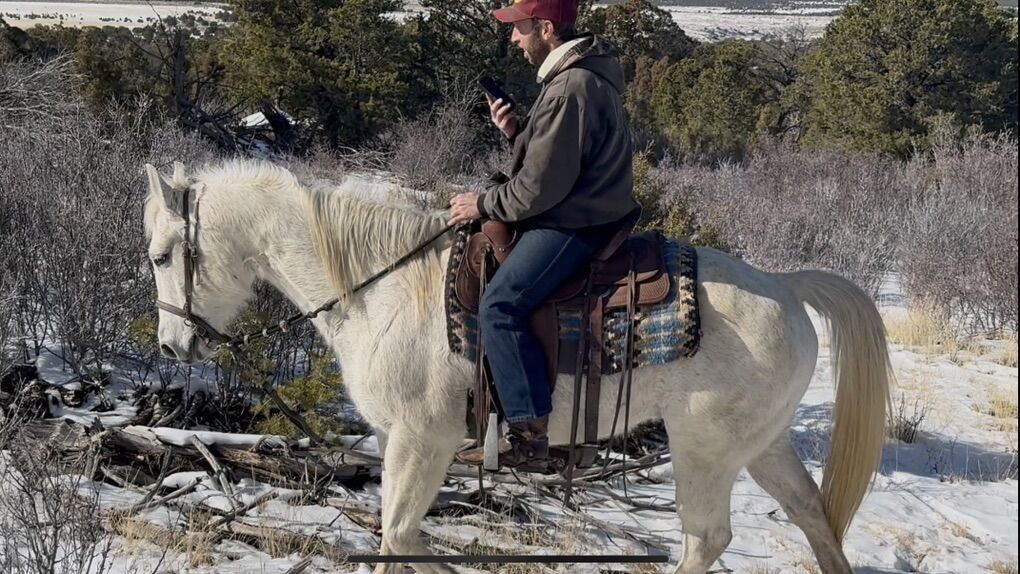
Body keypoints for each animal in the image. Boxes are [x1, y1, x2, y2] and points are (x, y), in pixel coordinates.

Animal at [143, 159, 891, 574]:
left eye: (160, 255)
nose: (173, 346)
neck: (383, 287)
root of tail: (788, 287)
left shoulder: (423, 441)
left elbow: (396, 537)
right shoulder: (396, 441)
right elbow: (404, 538)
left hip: (703, 452)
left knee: (707, 541)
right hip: (763, 446)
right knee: (816, 517)